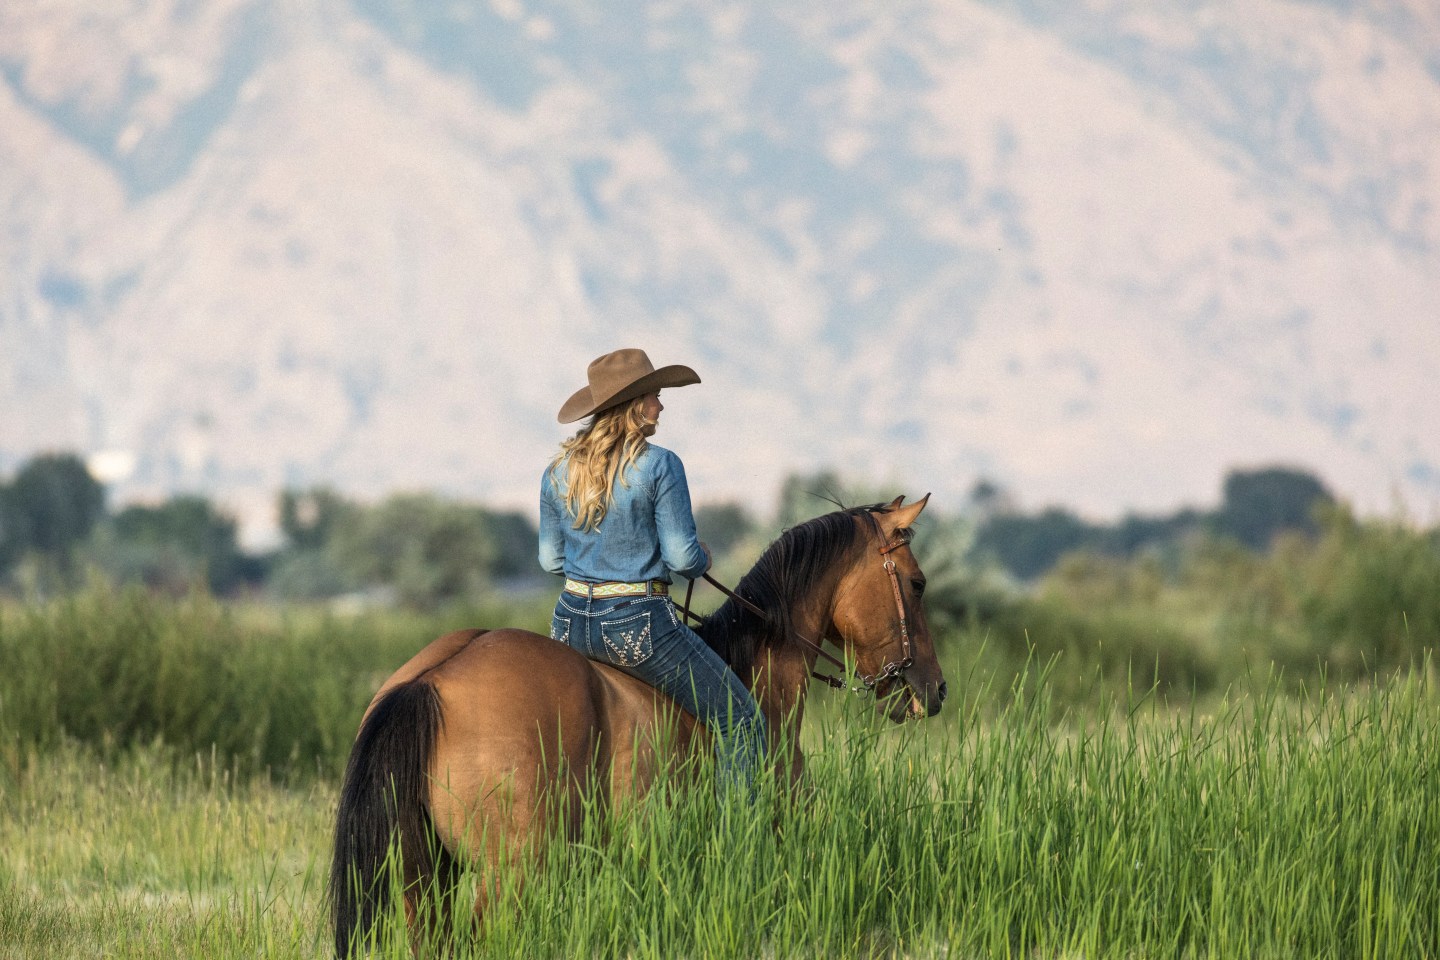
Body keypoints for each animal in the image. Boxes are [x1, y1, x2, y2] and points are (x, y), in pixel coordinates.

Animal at [331, 495, 950, 955]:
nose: (934, 690)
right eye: (917, 583)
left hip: (423, 879)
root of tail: (434, 678)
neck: (753, 670)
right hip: (508, 876)